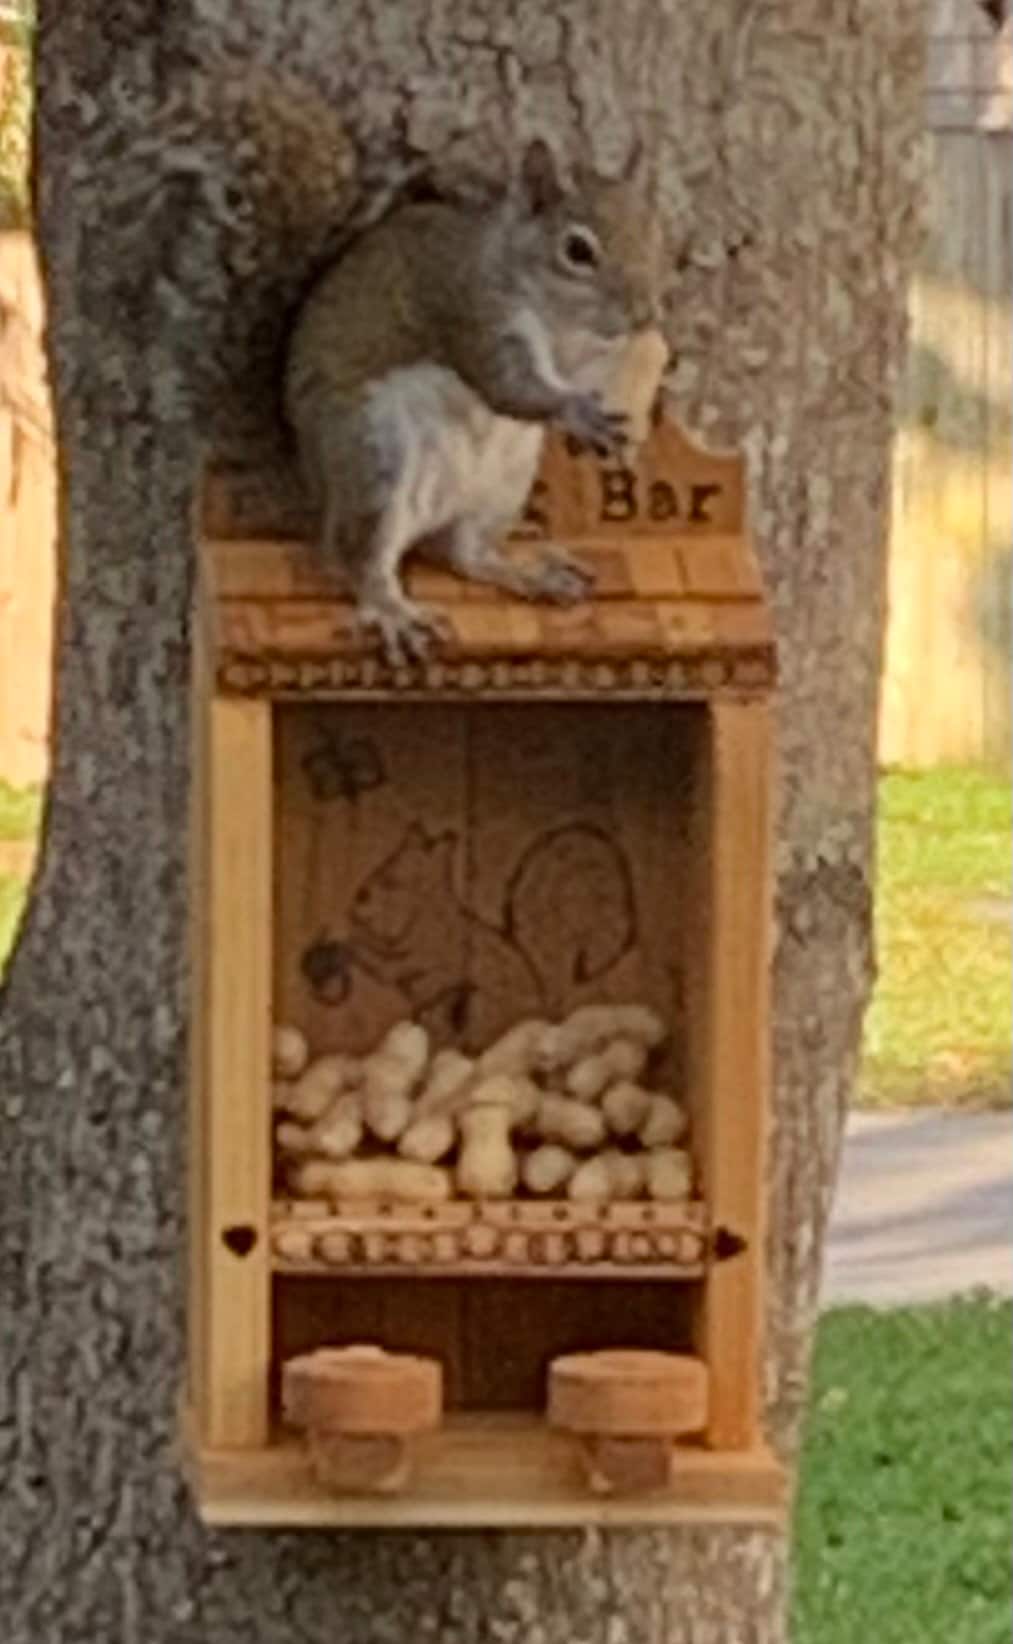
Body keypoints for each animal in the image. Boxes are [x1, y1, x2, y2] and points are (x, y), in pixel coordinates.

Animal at [283, 138, 663, 663]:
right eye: (577, 250)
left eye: (654, 232)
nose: (644, 311)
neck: (561, 321)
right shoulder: (475, 312)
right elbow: (509, 385)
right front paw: (578, 412)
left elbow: (622, 362)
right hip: (373, 453)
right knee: (352, 555)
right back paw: (391, 610)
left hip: (505, 483)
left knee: (467, 556)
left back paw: (526, 571)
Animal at [302, 820, 637, 1053]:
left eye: (392, 882)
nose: (355, 902)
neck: (428, 914)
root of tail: (544, 1012)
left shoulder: (427, 949)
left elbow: (388, 966)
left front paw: (349, 946)